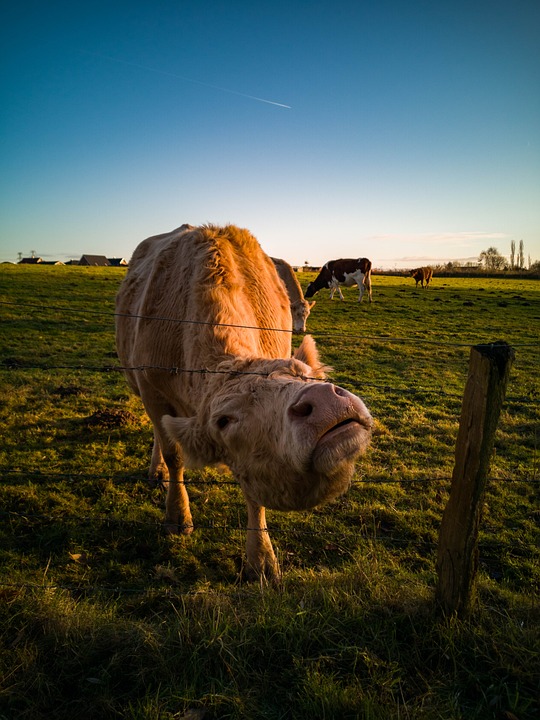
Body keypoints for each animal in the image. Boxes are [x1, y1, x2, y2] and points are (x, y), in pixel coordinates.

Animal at [116, 224, 372, 581]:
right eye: (225, 420)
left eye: (306, 376)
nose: (323, 402)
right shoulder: (152, 391)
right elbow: (174, 455)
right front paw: (177, 515)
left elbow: (254, 495)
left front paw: (261, 556)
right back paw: (156, 471)